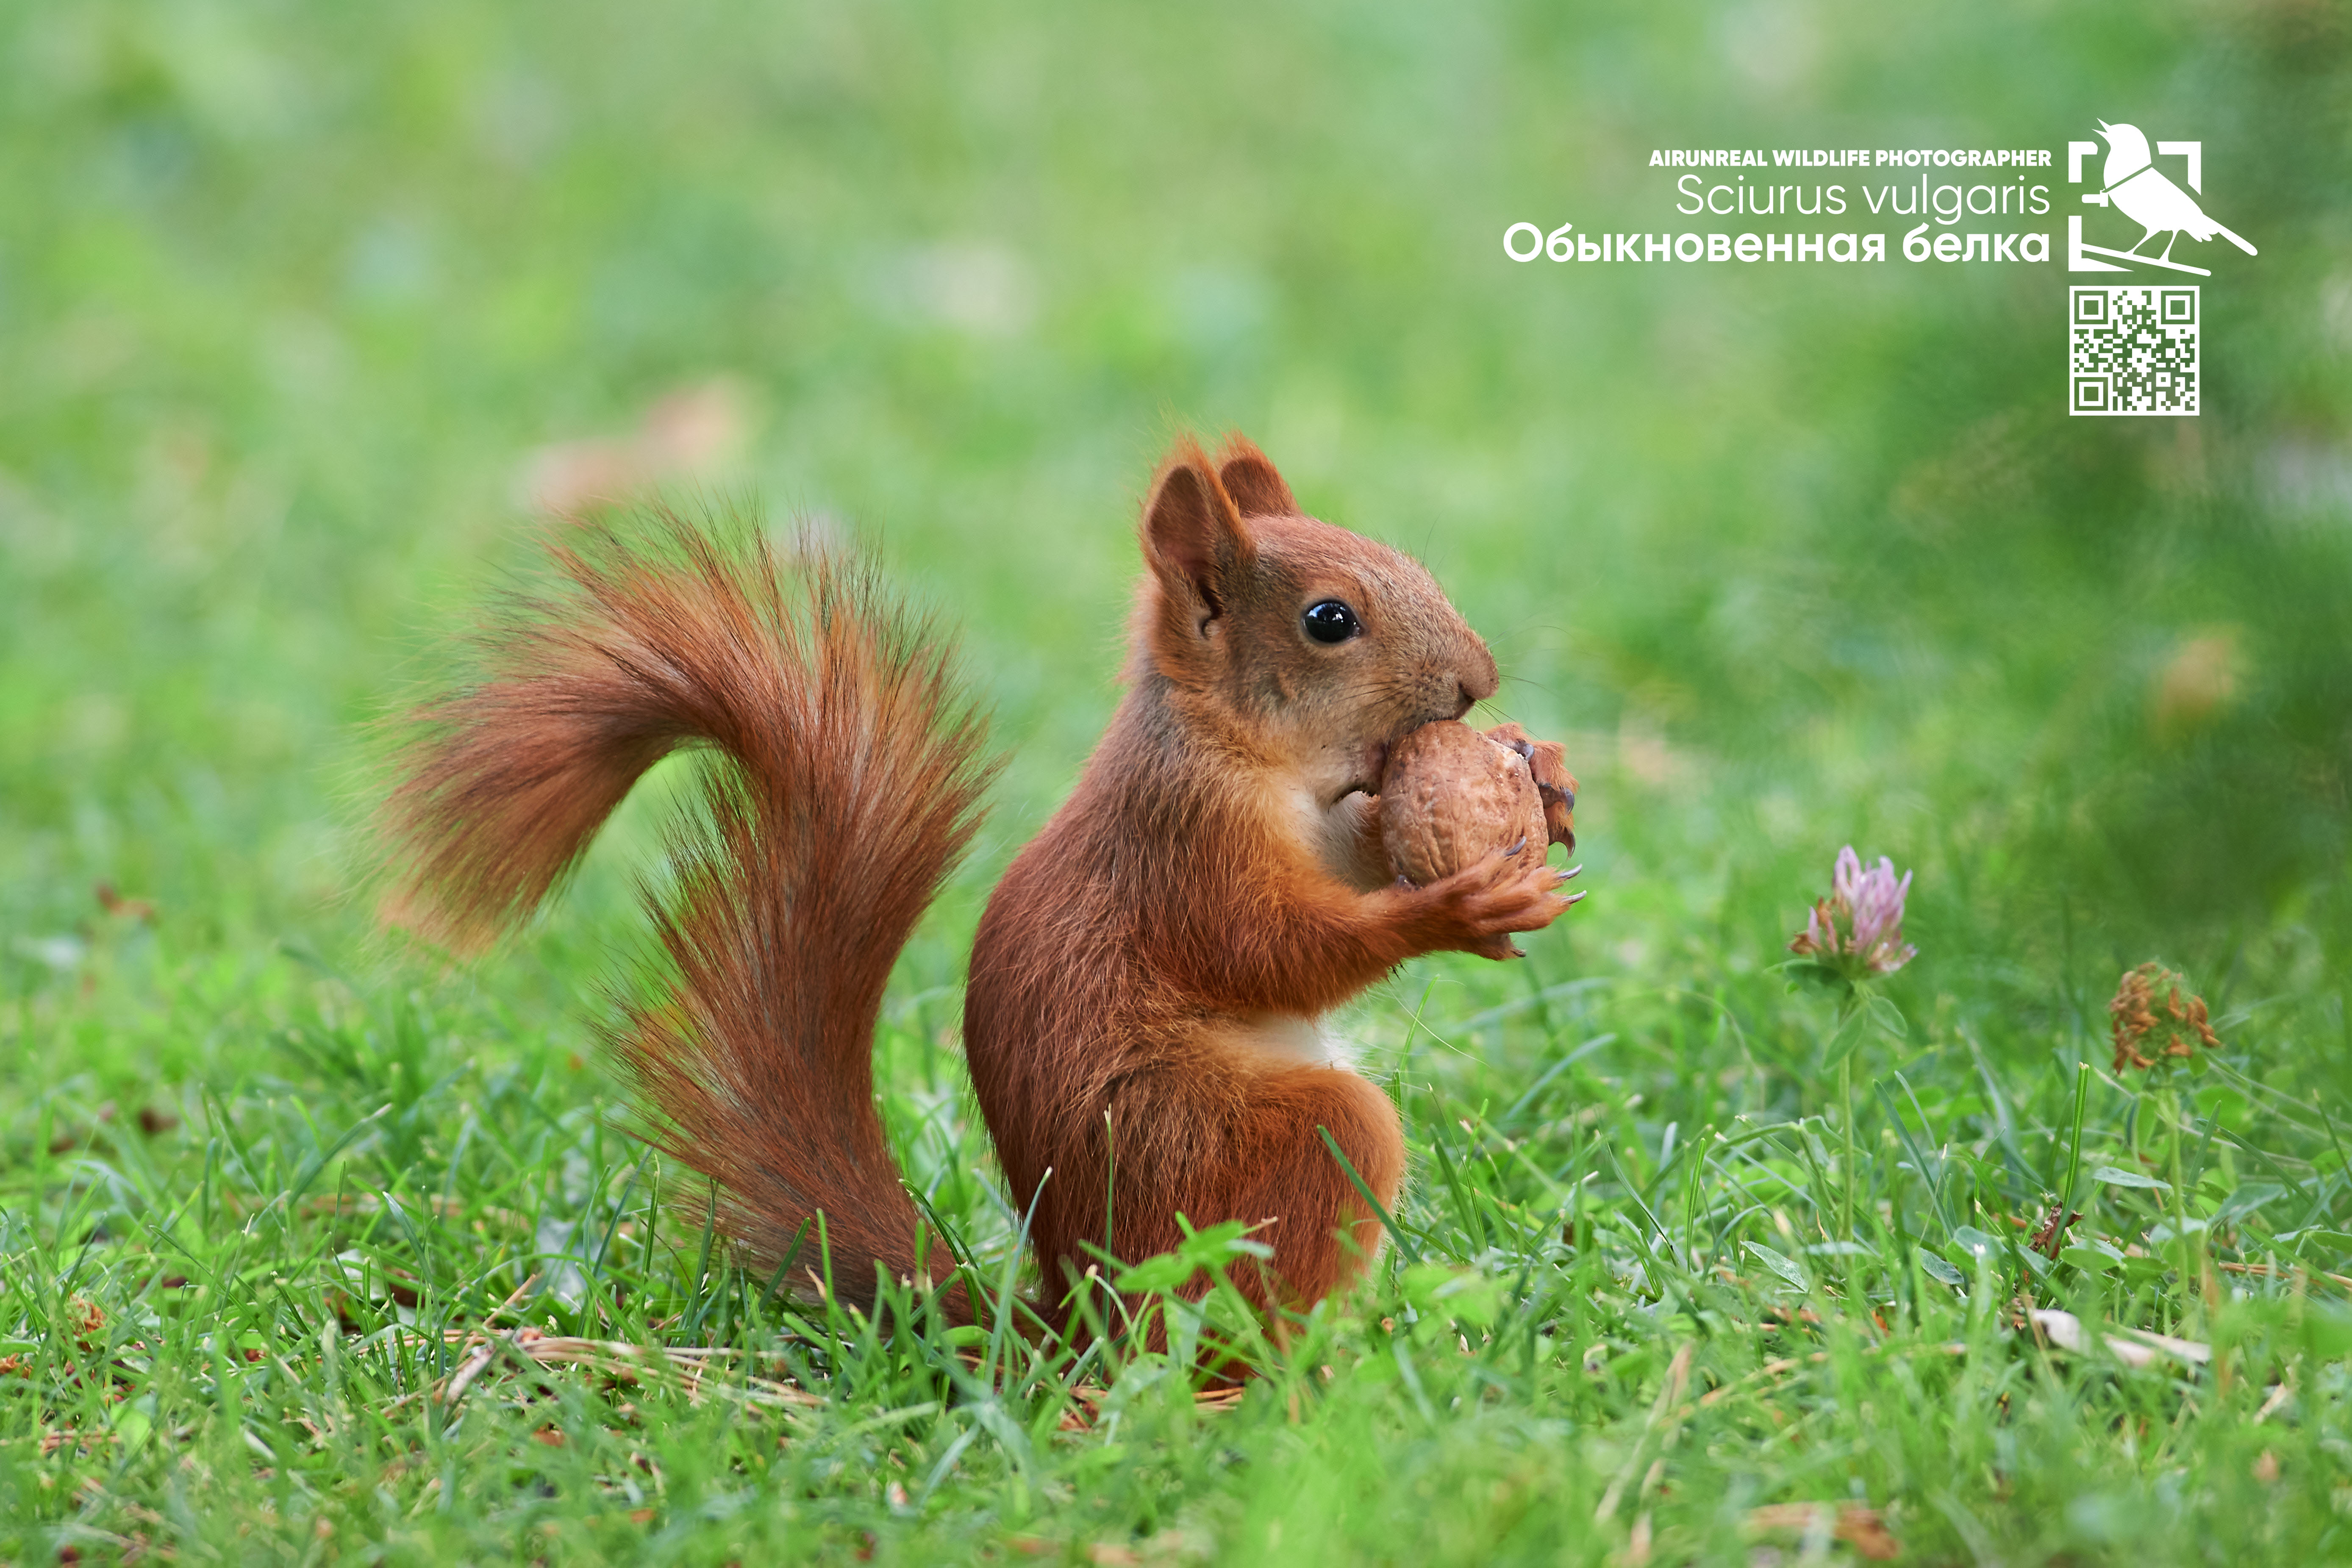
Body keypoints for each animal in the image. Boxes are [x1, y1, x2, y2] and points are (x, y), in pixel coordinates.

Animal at [381, 439, 1580, 1335]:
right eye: (1330, 620)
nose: (1477, 681)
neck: (1253, 754)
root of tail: (1077, 1317)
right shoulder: (1182, 843)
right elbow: (1269, 948)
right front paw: (1455, 905)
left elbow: (1360, 845)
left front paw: (1541, 774)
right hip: (1251, 1147)